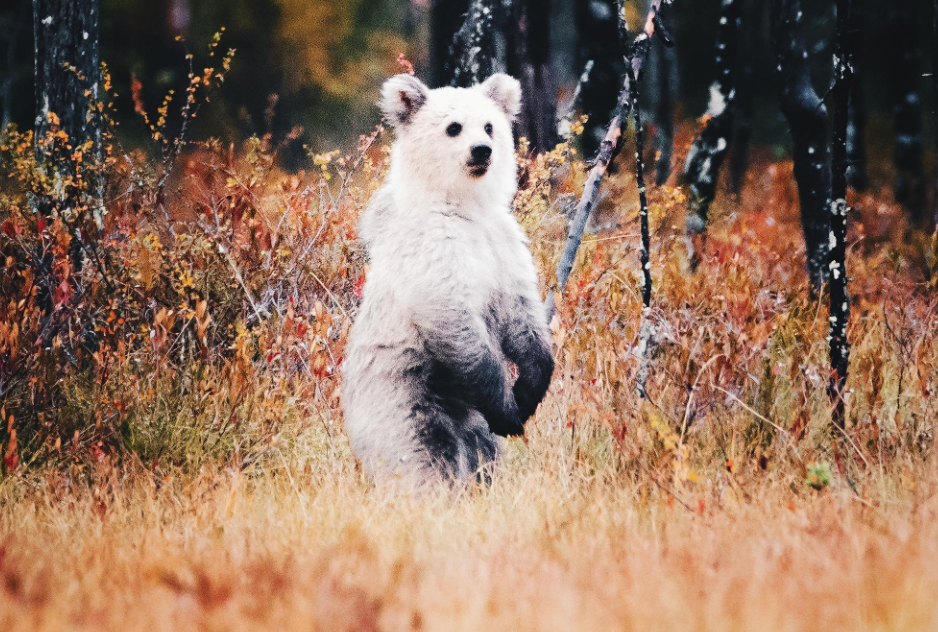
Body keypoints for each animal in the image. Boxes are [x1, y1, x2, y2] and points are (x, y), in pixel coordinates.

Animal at [341, 72, 555, 485]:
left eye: (489, 125)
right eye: (453, 127)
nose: (482, 151)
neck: (465, 207)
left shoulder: (502, 245)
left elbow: (524, 315)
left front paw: (528, 391)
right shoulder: (434, 250)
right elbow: (452, 316)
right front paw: (506, 410)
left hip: (466, 424)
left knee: (483, 452)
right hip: (403, 397)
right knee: (422, 456)